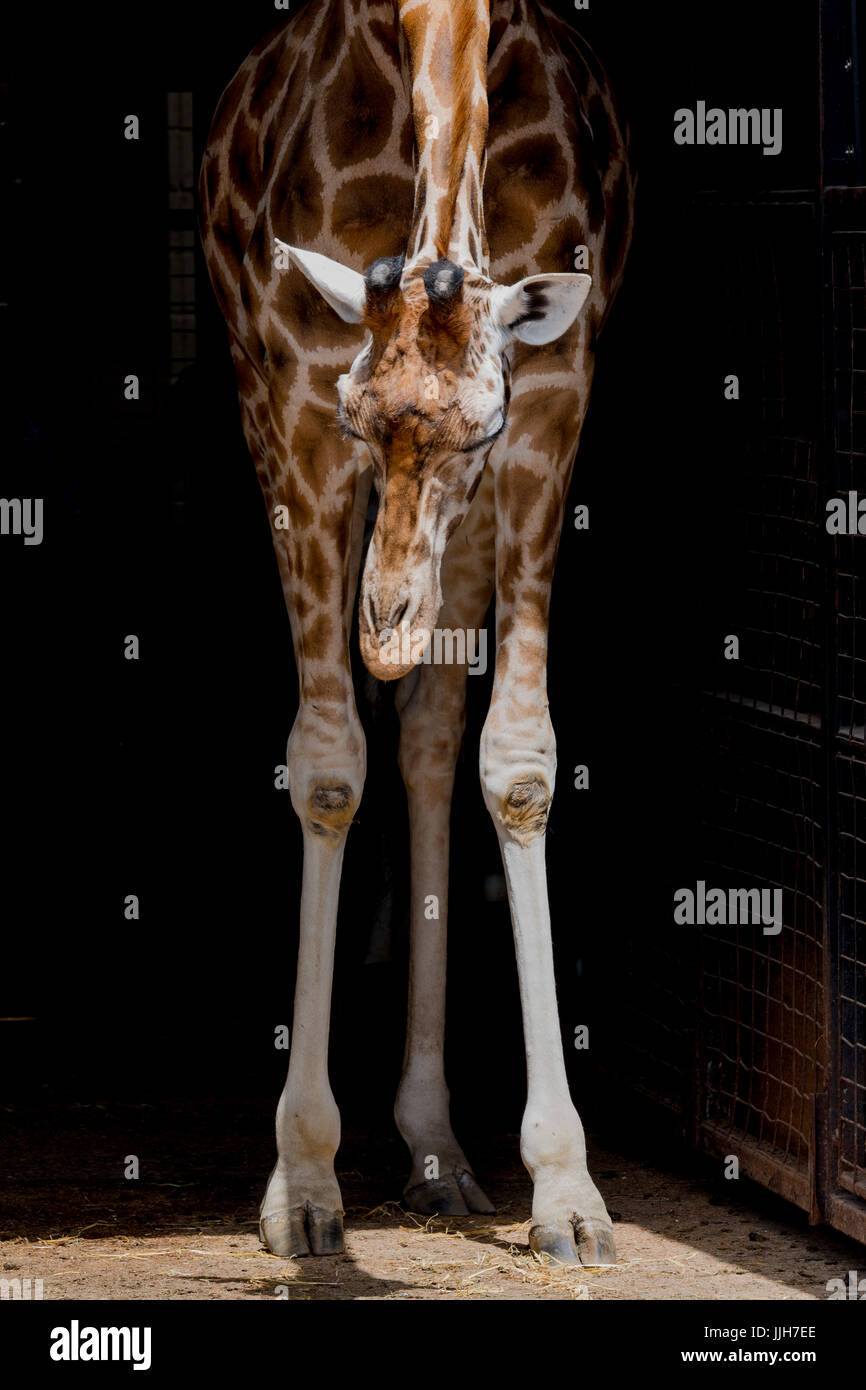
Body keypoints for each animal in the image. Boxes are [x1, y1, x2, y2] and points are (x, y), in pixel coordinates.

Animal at [199, 0, 634, 1266]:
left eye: (480, 427)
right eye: (357, 414)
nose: (384, 625)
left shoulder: (550, 403)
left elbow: (519, 762)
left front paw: (567, 1190)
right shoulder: (295, 395)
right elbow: (326, 765)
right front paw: (301, 1180)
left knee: (436, 732)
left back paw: (437, 1145)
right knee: (400, 730)